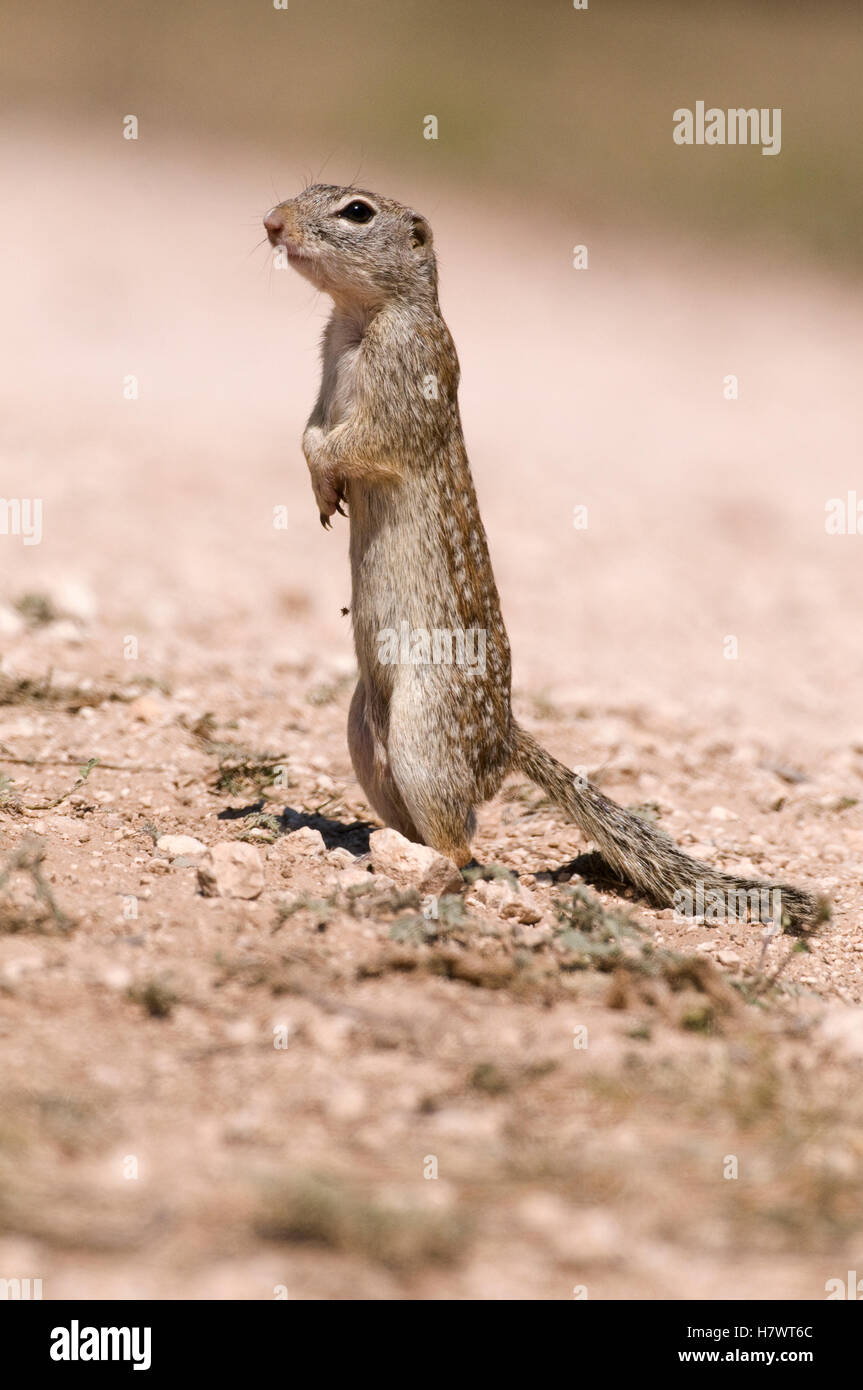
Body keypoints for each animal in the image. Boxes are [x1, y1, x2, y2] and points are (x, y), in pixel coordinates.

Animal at [263, 184, 820, 932]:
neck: (360, 318)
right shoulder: (325, 369)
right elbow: (308, 431)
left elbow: (358, 440)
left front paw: (327, 474)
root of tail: (504, 740)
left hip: (424, 736)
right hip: (362, 733)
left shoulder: (404, 384)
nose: (272, 223)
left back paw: (413, 872)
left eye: (356, 211)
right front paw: (321, 492)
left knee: (460, 843)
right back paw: (372, 843)